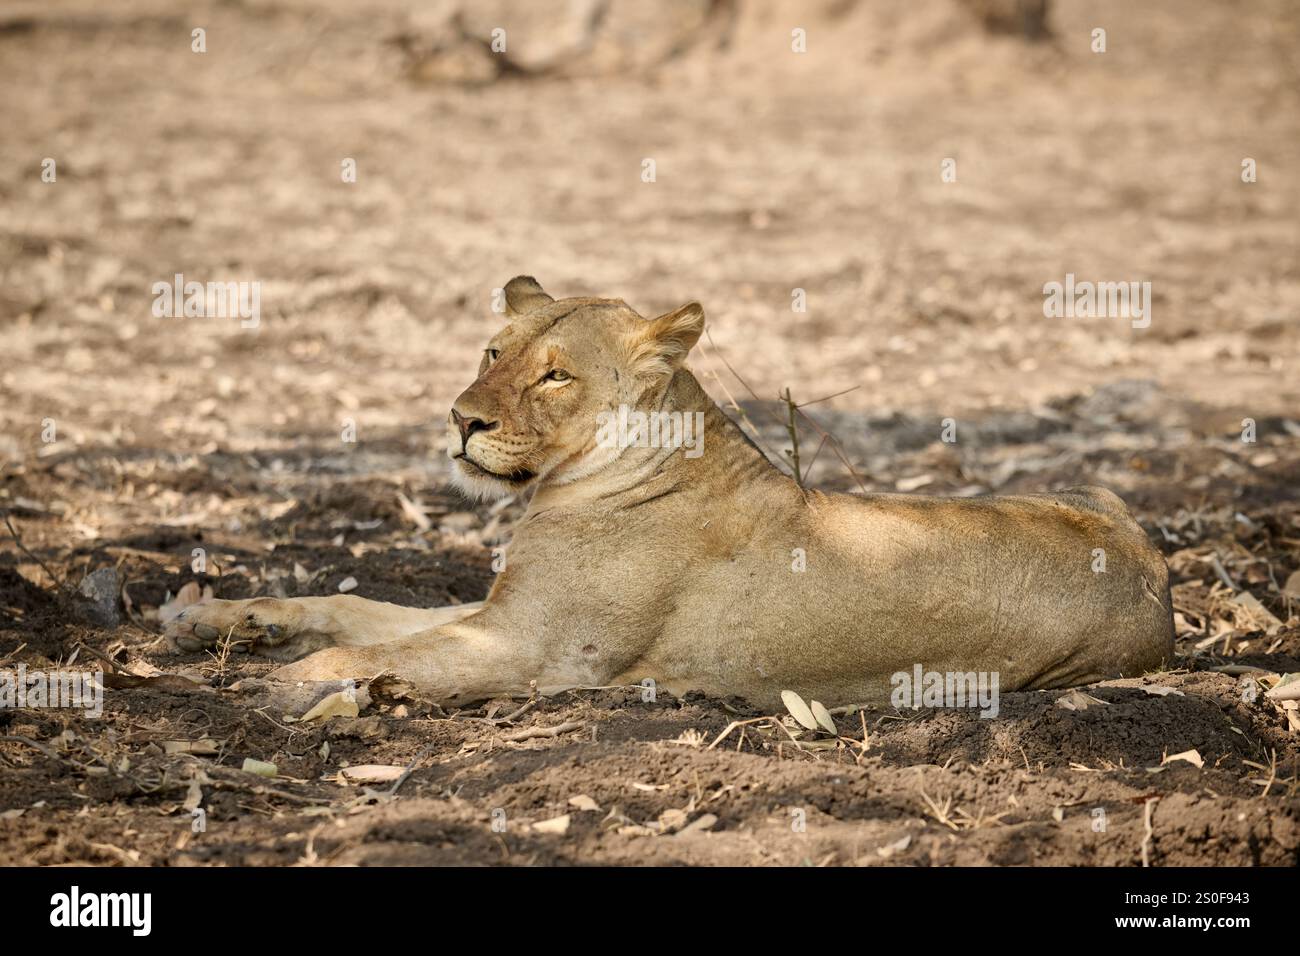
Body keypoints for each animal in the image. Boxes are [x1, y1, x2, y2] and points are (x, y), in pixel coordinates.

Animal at [167, 277, 1174, 709]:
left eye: (556, 375)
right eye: (494, 351)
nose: (461, 419)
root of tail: (1150, 559)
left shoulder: (534, 651)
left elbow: (386, 651)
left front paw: (286, 683)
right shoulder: (505, 610)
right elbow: (355, 606)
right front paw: (218, 618)